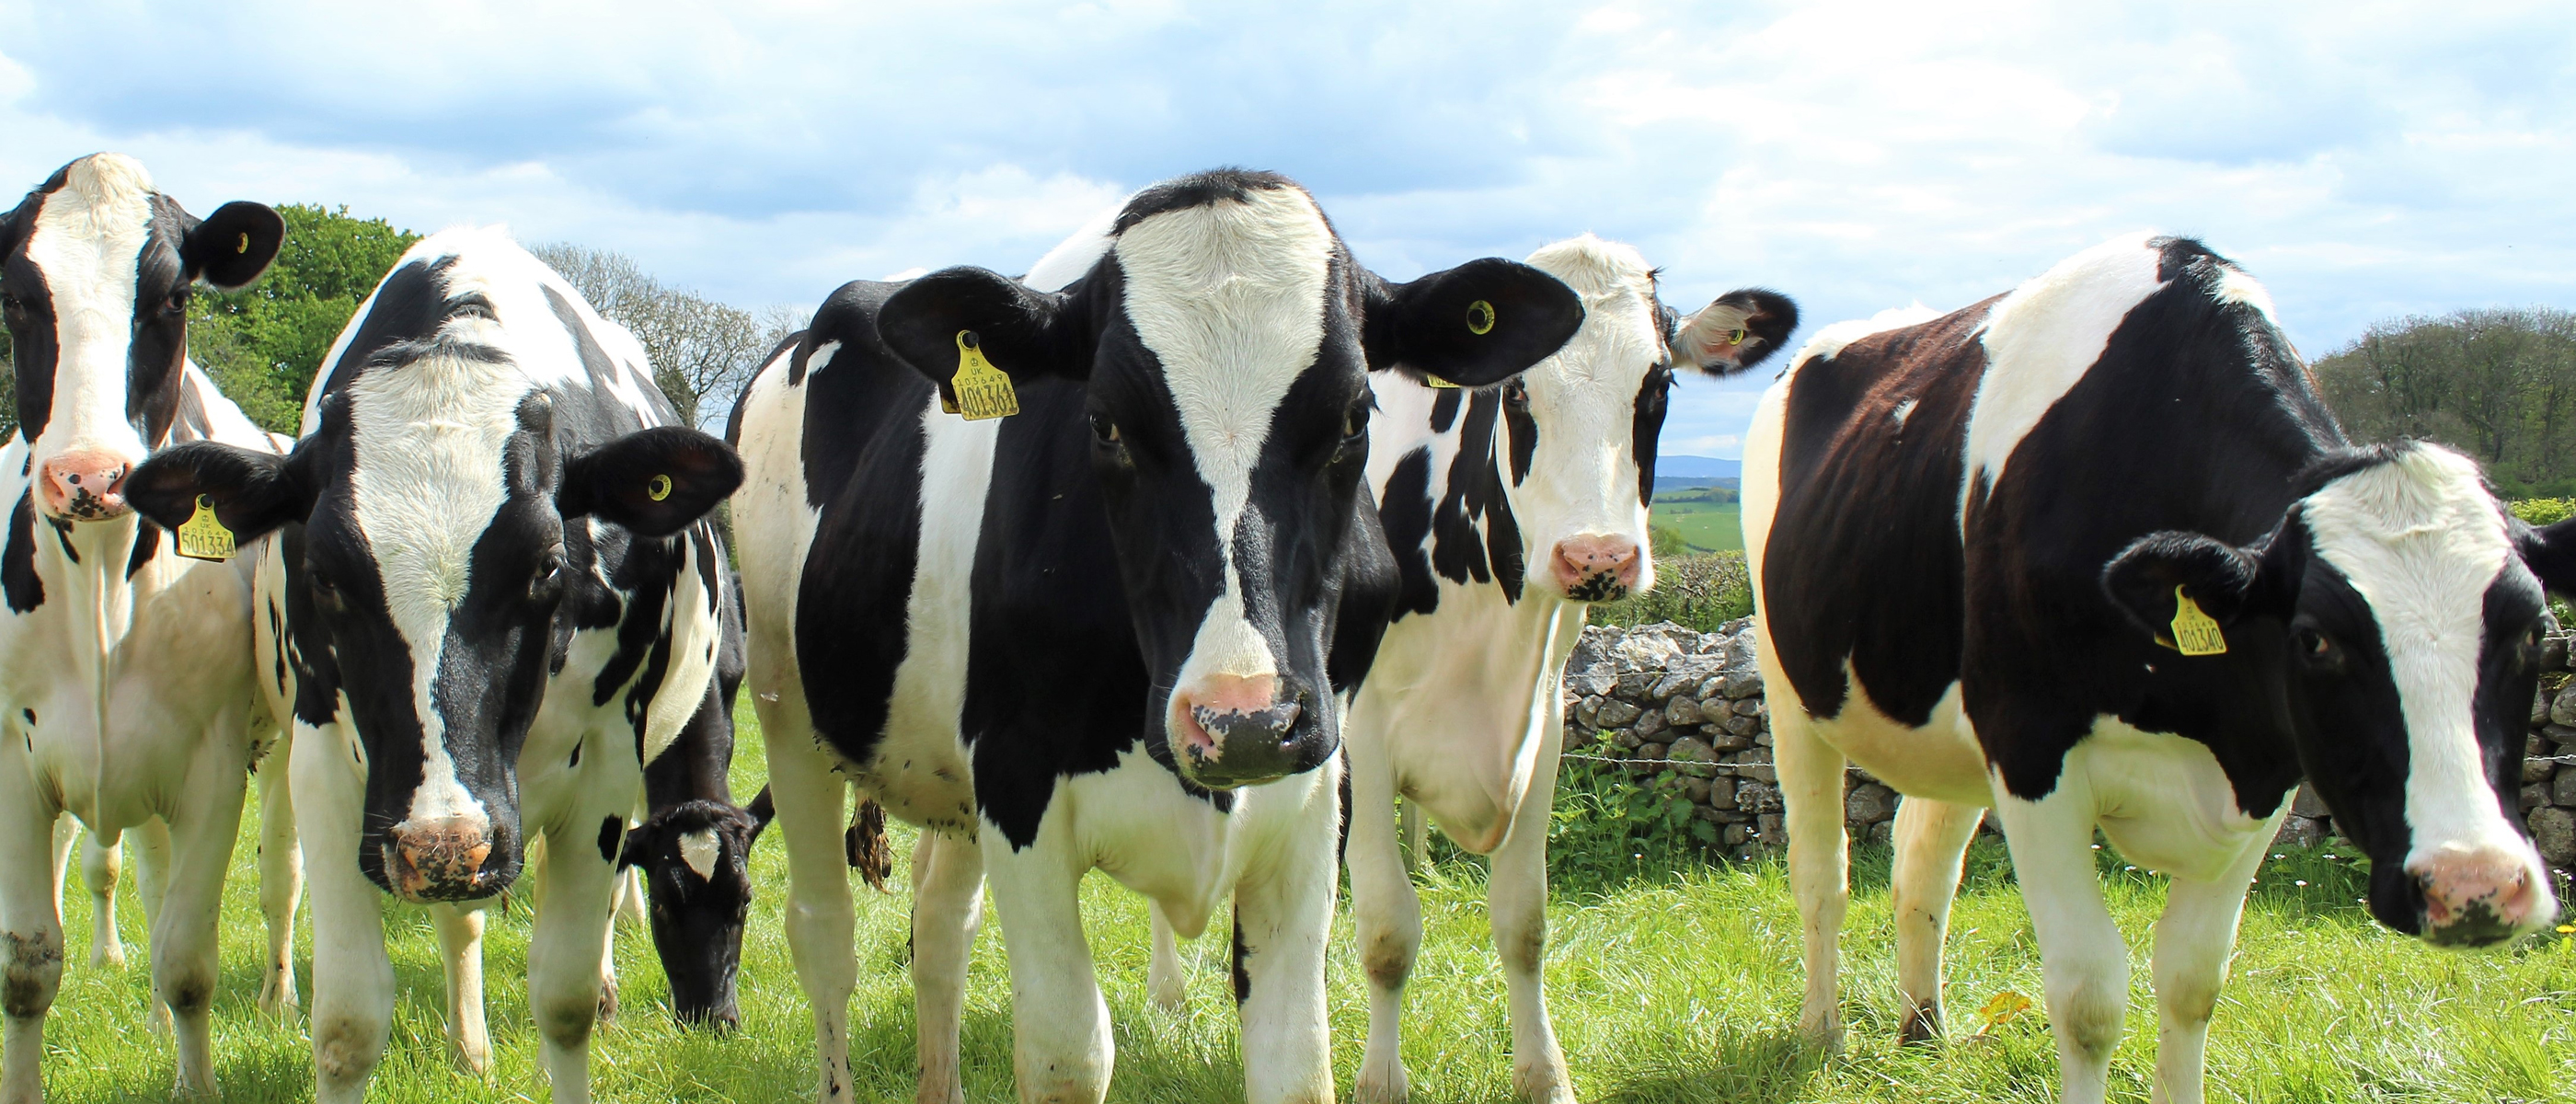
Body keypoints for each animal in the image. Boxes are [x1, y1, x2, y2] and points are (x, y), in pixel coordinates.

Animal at [0, 152, 289, 1101]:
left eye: (171, 298)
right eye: (19, 296)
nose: (89, 476)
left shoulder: (214, 770)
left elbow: (191, 961)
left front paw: (194, 1084)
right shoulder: (12, 766)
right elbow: (28, 964)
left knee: (279, 883)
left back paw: (278, 995)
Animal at [126, 227, 743, 1104]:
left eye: (547, 565)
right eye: (324, 574)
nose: (442, 843)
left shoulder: (603, 772)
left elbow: (565, 1000)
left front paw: (583, 1013)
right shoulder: (331, 766)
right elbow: (349, 1022)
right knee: (460, 917)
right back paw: (469, 1045)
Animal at [730, 168, 1584, 1104]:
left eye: (1357, 417)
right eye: (1104, 423)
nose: (1241, 721)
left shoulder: (1316, 793)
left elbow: (1297, 1059)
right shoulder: (1019, 785)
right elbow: (1068, 1050)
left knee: (942, 933)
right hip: (787, 711)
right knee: (824, 936)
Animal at [1336, 235, 1793, 1104]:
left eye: (1660, 384)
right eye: (1515, 389)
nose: (1597, 558)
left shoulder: (1542, 724)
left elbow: (1523, 919)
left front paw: (1544, 1077)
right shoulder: (1364, 727)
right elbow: (1383, 929)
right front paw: (1380, 1081)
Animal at [1739, 233, 2564, 1104]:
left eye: (2535, 632)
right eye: (2314, 640)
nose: (2473, 884)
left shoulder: (2265, 773)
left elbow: (2193, 979)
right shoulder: (2031, 751)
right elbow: (2088, 996)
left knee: (1923, 862)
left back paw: (1923, 1029)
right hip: (1792, 692)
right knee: (1822, 869)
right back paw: (1822, 1029)